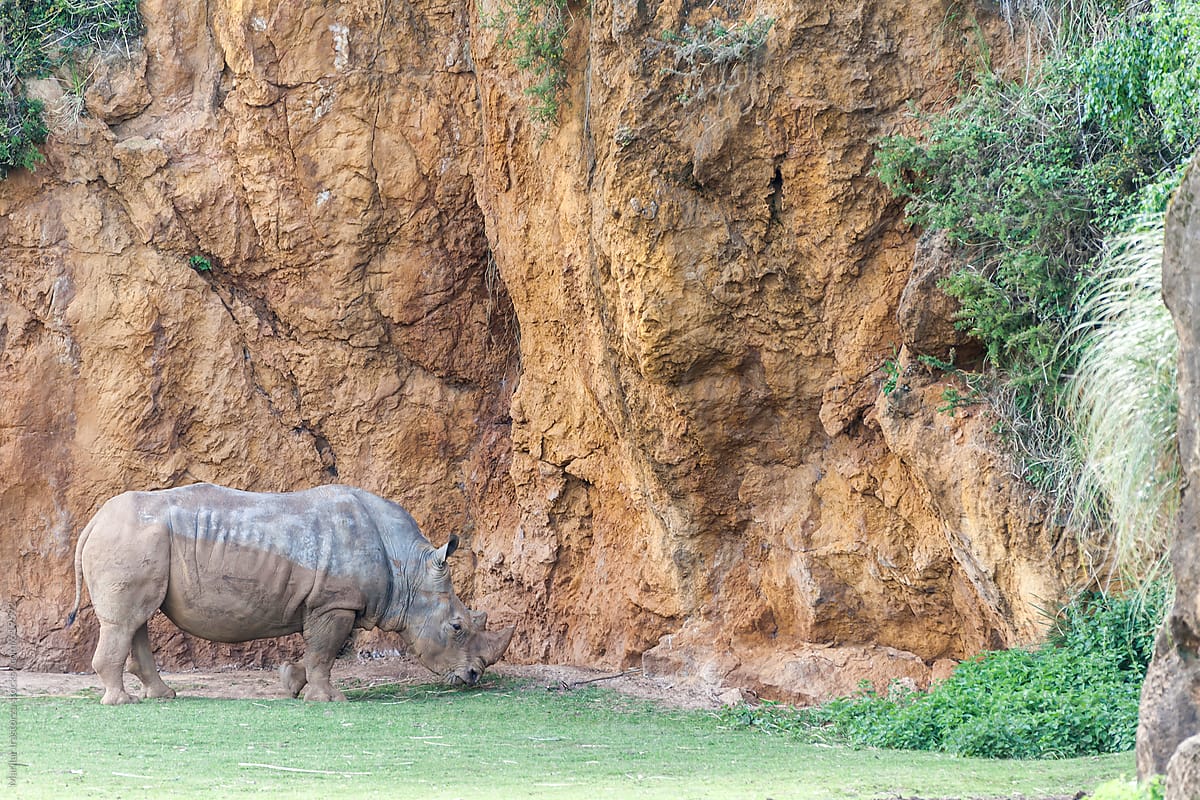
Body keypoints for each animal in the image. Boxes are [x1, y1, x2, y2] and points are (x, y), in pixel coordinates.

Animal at [66, 483, 514, 705]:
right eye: (456, 627)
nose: (473, 676)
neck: (408, 566)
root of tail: (93, 522)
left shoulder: (337, 602)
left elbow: (323, 650)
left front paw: (291, 682)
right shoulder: (335, 602)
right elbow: (325, 651)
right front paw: (328, 700)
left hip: (137, 538)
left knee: (137, 619)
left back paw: (162, 696)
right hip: (131, 537)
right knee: (126, 621)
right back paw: (120, 702)